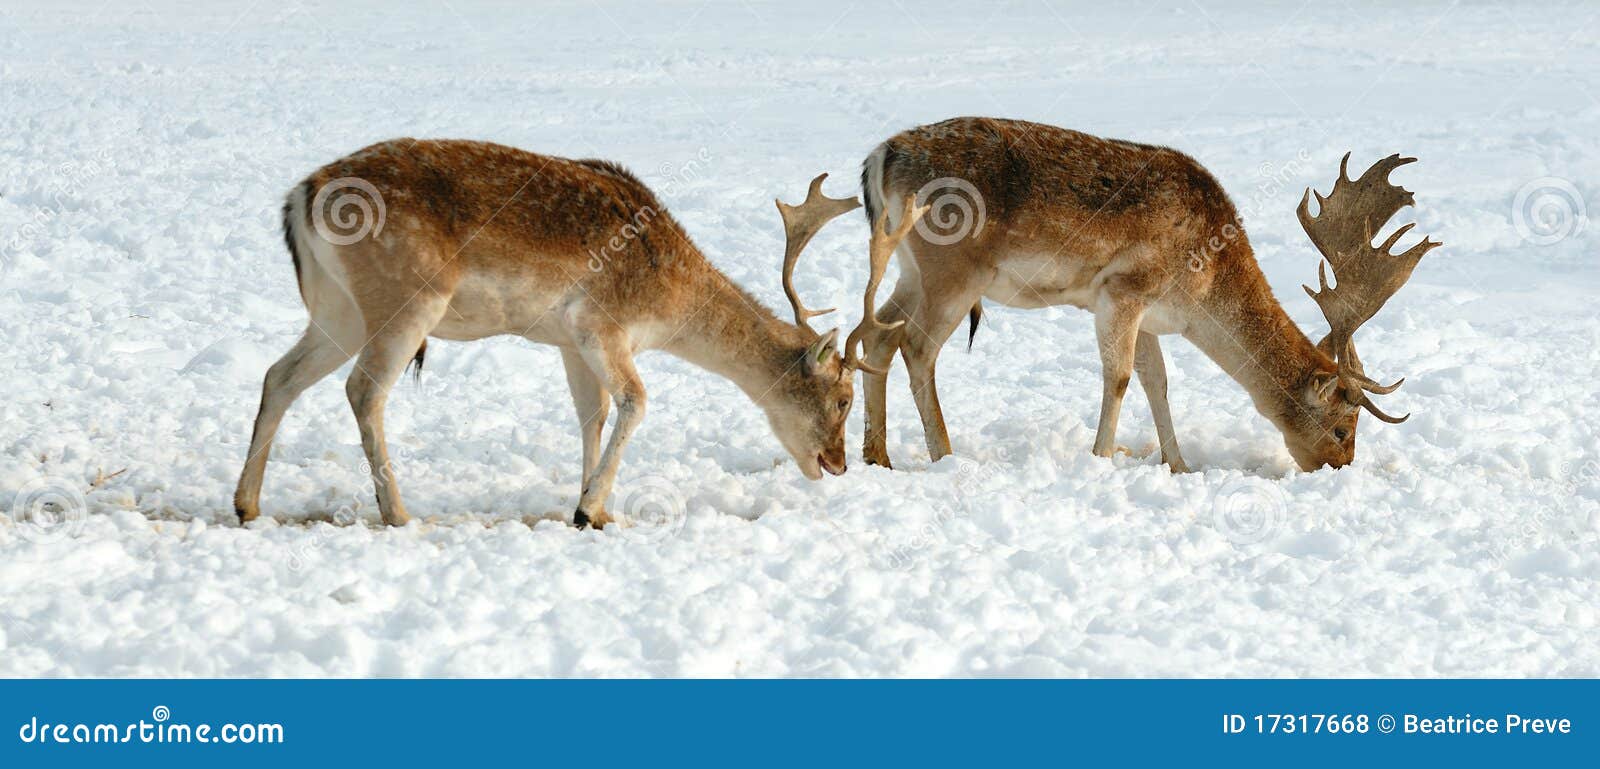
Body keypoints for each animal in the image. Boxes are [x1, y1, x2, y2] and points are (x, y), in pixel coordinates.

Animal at [233, 139, 887, 528]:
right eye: (843, 397)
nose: (836, 465)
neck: (670, 301)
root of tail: (298, 199)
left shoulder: (571, 345)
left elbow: (591, 414)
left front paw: (592, 509)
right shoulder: (601, 324)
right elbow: (636, 400)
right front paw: (589, 508)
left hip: (337, 311)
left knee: (278, 375)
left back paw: (247, 503)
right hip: (406, 300)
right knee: (363, 391)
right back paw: (399, 512)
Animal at [854, 117, 1440, 473]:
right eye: (1343, 427)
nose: (1340, 470)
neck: (1201, 292)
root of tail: (882, 155)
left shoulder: (1154, 317)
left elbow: (1158, 382)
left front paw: (1178, 464)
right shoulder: (1121, 290)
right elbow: (1118, 377)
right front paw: (1100, 458)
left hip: (909, 267)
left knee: (876, 336)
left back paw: (877, 455)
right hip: (953, 270)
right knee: (916, 348)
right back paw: (943, 454)